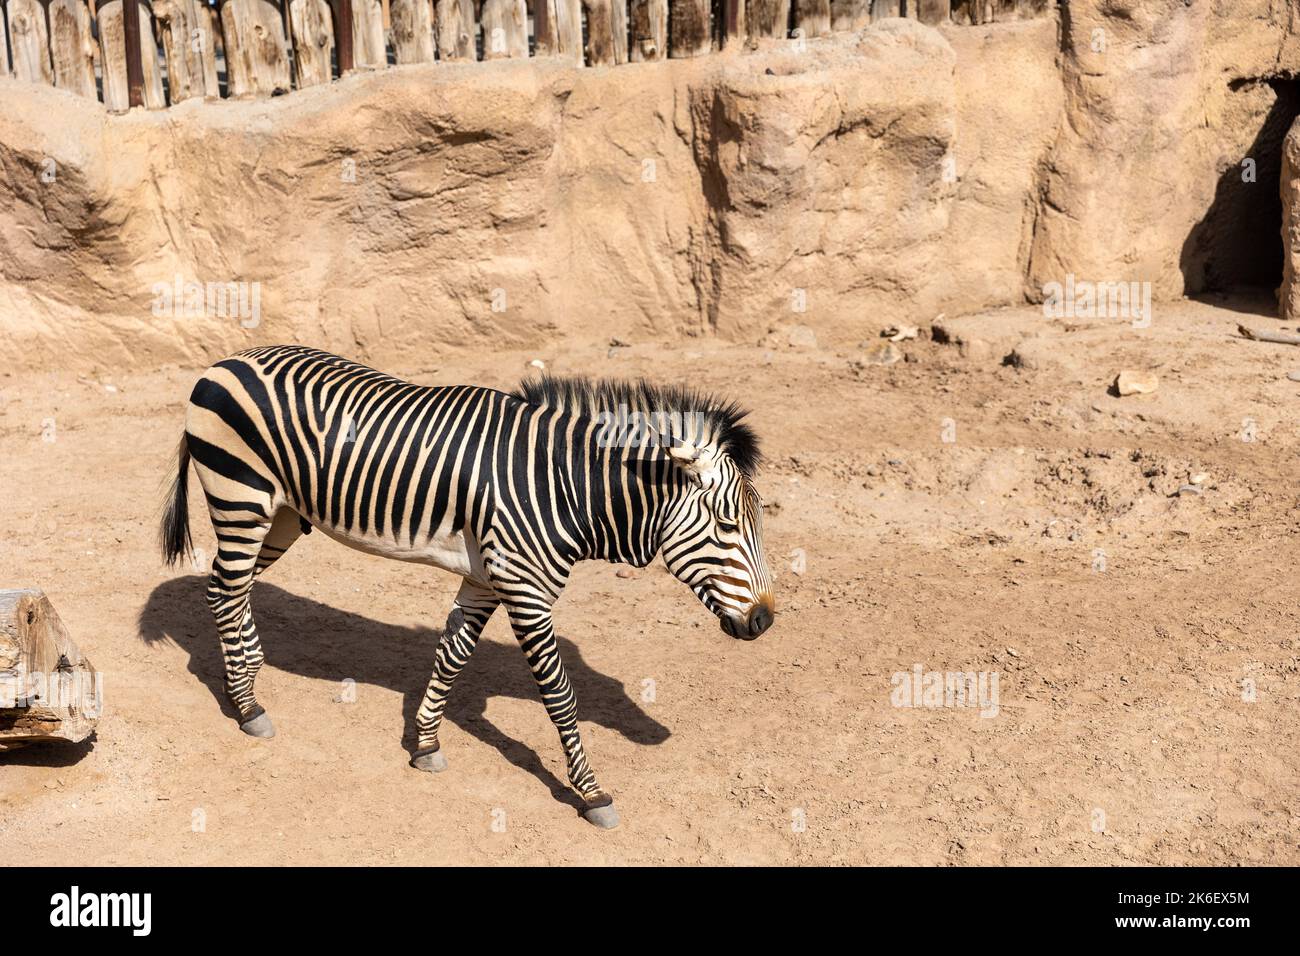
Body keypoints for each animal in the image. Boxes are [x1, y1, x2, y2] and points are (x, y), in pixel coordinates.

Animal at [160, 345, 775, 828]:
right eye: (727, 524)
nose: (766, 620)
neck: (564, 486)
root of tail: (230, 359)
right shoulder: (527, 591)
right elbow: (560, 695)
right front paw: (591, 793)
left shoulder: (485, 580)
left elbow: (451, 656)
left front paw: (426, 744)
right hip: (240, 497)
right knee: (223, 590)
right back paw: (247, 708)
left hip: (282, 515)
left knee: (231, 587)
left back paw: (244, 675)